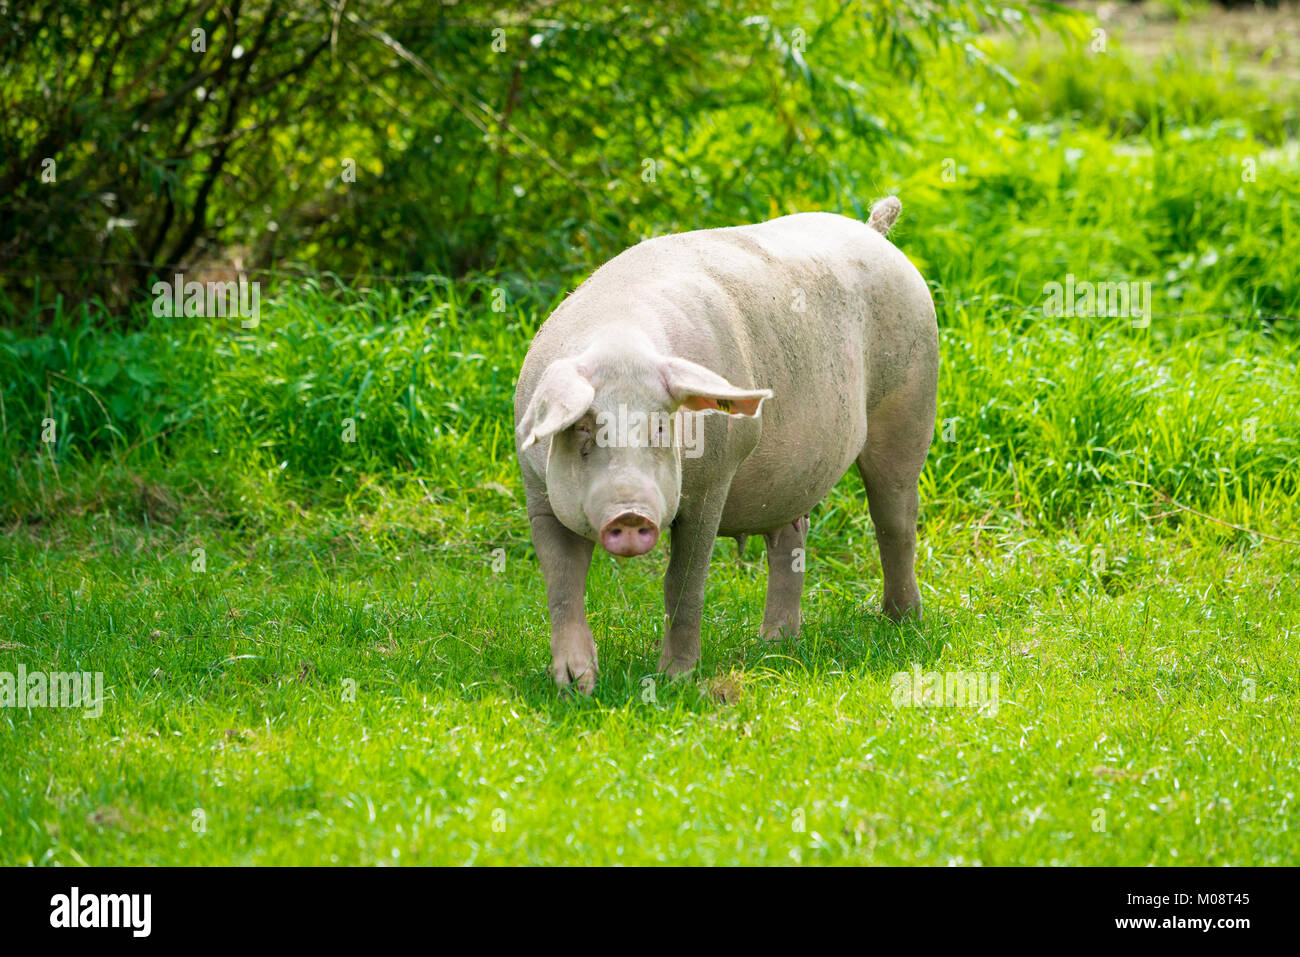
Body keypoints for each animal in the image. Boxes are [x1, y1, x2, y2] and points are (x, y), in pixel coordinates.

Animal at [515, 197, 938, 692]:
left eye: (662, 429)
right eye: (584, 429)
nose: (630, 513)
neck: (619, 340)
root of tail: (875, 231)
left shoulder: (711, 482)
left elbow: (683, 582)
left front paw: (674, 681)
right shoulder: (537, 492)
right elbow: (562, 584)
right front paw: (574, 686)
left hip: (911, 401)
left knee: (895, 520)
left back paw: (901, 622)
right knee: (791, 538)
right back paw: (774, 644)